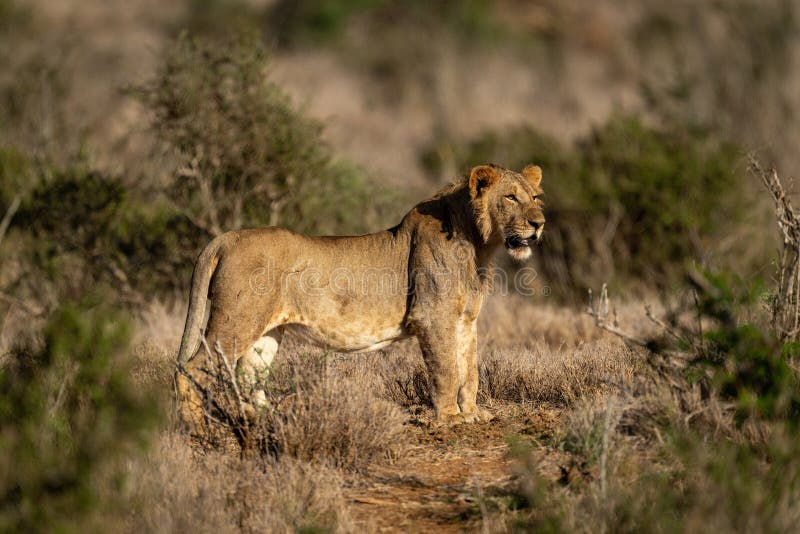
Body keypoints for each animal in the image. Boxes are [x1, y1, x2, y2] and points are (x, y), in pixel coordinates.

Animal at [176, 163, 545, 425]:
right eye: (511, 197)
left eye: (535, 198)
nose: (539, 223)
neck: (479, 247)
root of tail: (226, 238)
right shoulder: (432, 316)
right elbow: (446, 369)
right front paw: (450, 418)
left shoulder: (465, 321)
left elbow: (469, 369)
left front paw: (472, 413)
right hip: (235, 321)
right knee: (192, 367)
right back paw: (194, 426)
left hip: (266, 331)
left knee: (248, 373)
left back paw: (264, 418)